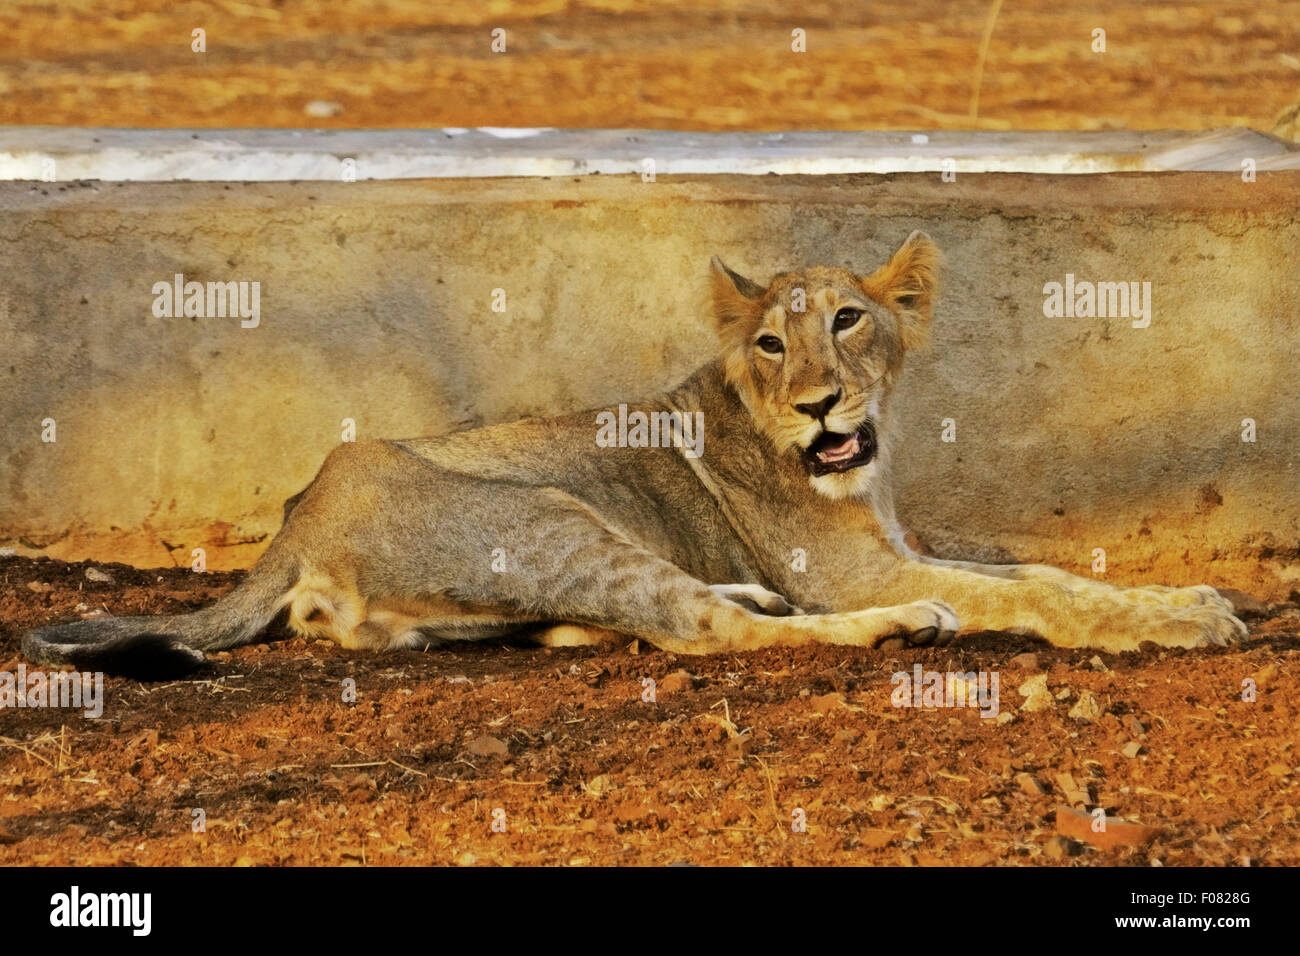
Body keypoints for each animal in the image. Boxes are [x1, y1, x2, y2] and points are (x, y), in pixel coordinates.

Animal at [22, 232, 1247, 679]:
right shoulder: (855, 569)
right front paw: (1182, 619)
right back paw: (892, 628)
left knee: (651, 616)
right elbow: (1036, 591)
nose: (817, 404)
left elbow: (1035, 567)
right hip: (556, 519)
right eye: (770, 342)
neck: (866, 469)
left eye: (848, 320)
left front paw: (1189, 593)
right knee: (703, 629)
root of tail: (300, 519)